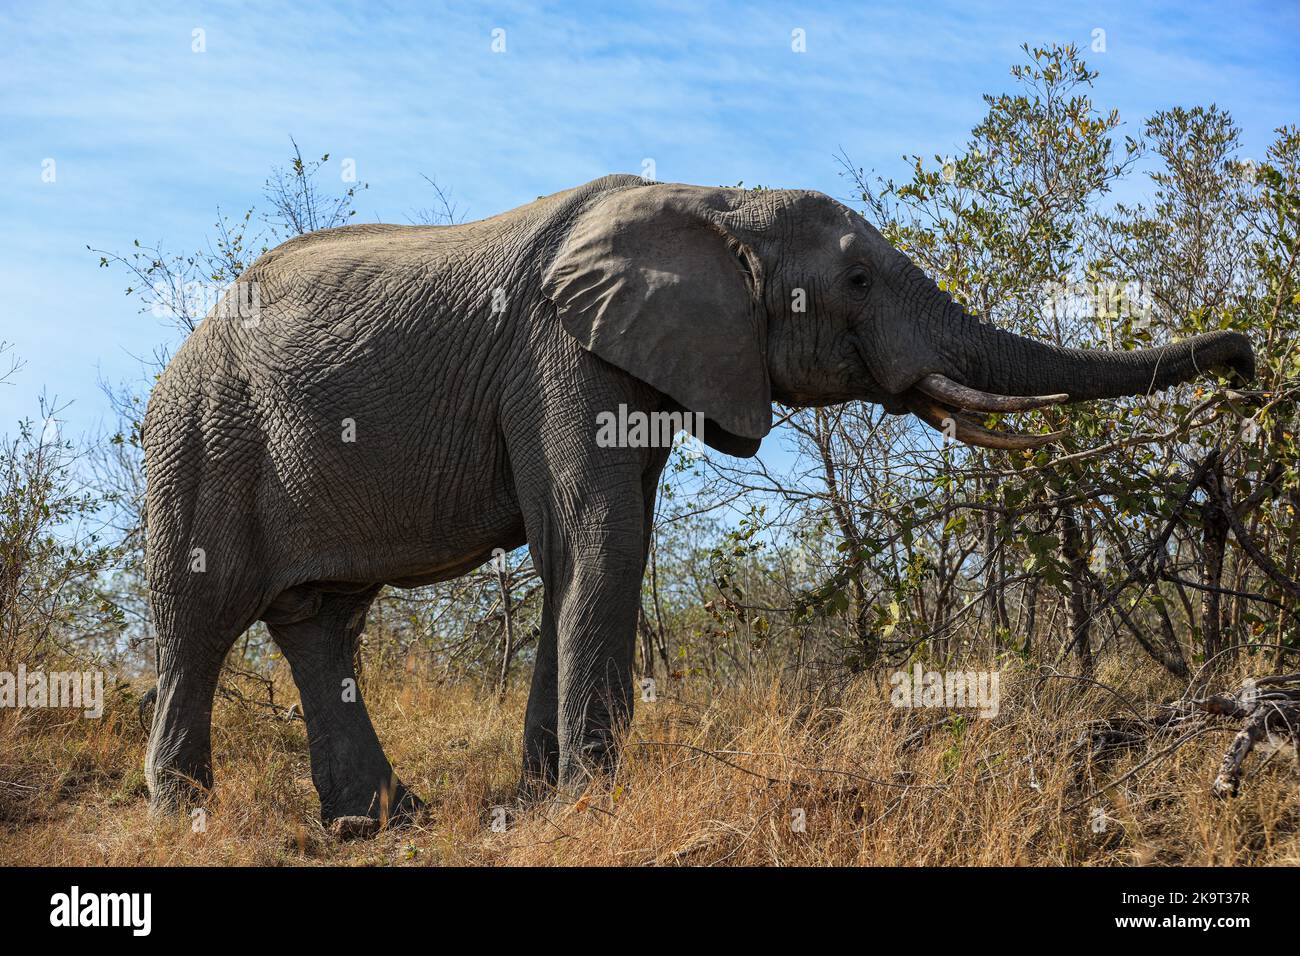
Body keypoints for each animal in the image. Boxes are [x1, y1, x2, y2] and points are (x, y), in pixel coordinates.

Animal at [142, 173, 1254, 825]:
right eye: (857, 280)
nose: (1246, 364)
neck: (714, 196)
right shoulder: (559, 351)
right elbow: (597, 535)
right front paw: (588, 799)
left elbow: (589, 544)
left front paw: (542, 797)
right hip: (201, 437)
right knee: (203, 616)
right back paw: (186, 815)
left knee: (321, 621)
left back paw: (386, 821)